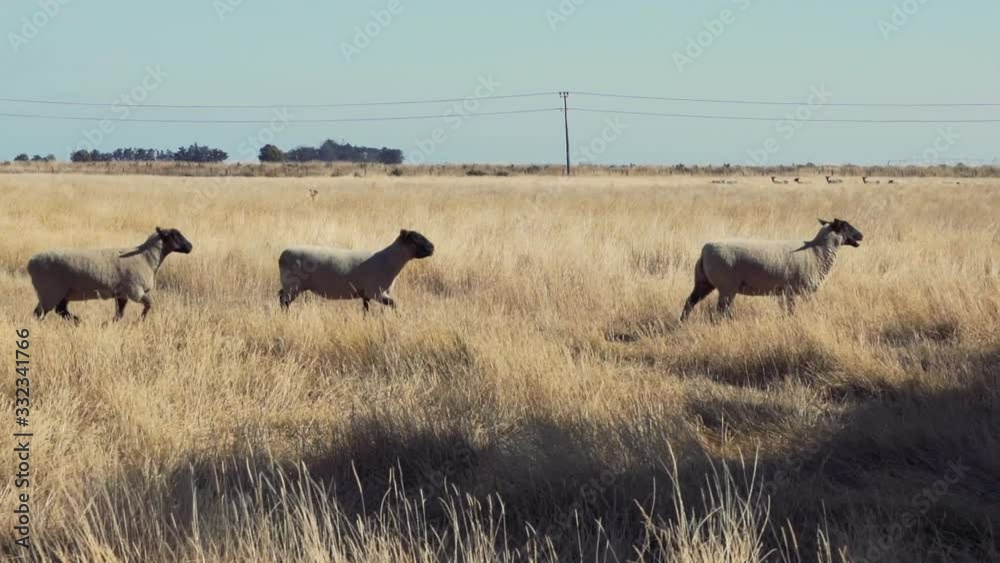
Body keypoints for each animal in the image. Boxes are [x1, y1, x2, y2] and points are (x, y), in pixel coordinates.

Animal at [27, 227, 193, 323]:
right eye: (175, 235)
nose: (190, 247)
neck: (147, 257)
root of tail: (31, 262)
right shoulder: (135, 291)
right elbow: (149, 304)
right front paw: (140, 321)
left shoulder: (122, 294)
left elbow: (120, 314)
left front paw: (107, 323)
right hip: (50, 291)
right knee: (39, 314)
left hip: (61, 293)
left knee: (60, 310)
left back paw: (78, 321)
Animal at [278, 229, 434, 313]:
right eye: (415, 238)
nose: (433, 247)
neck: (389, 260)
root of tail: (282, 255)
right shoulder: (376, 292)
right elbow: (395, 305)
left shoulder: (366, 294)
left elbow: (365, 310)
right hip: (293, 285)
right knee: (284, 301)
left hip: (290, 285)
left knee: (280, 296)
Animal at [679, 219, 863, 321]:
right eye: (846, 226)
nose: (861, 235)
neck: (817, 251)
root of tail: (704, 250)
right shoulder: (793, 290)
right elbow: (791, 312)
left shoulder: (787, 292)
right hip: (726, 286)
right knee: (719, 311)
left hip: (704, 282)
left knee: (690, 302)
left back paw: (682, 322)